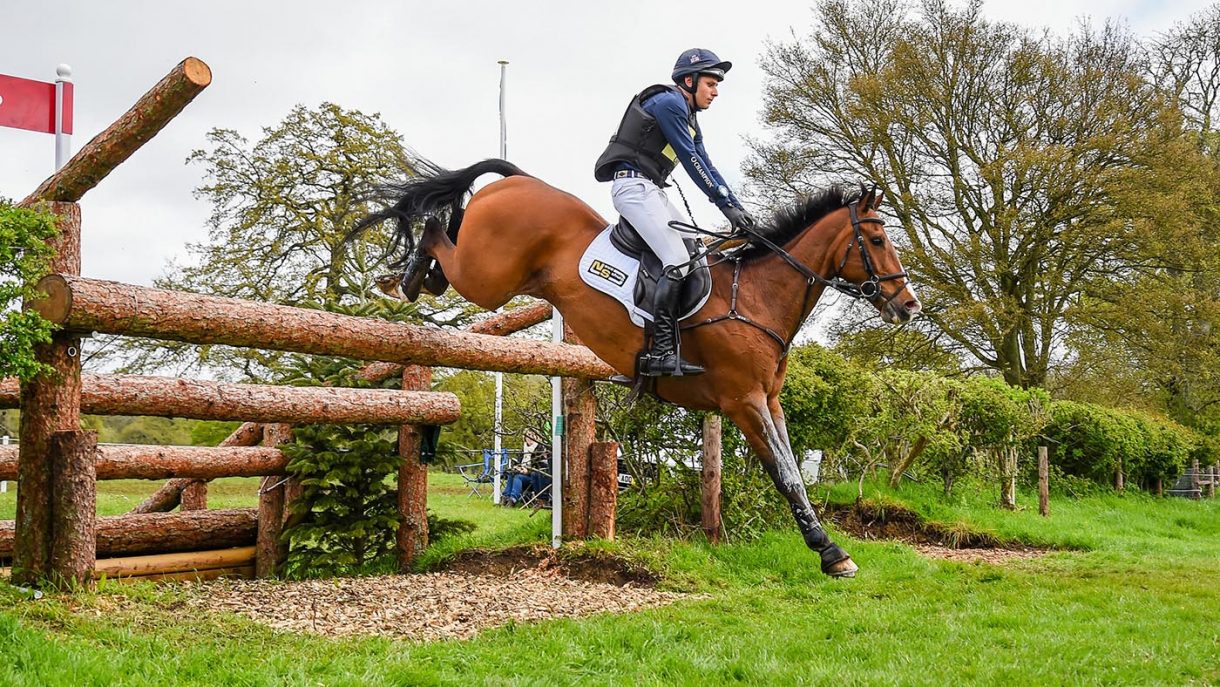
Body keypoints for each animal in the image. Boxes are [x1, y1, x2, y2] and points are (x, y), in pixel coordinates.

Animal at [357, 158, 922, 577]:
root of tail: (518, 180)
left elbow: (795, 472)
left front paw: (828, 546)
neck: (758, 297)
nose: (908, 306)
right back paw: (408, 277)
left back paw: (420, 278)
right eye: (876, 241)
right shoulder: (744, 401)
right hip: (487, 277)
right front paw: (830, 552)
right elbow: (784, 474)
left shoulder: (769, 400)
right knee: (436, 229)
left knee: (445, 236)